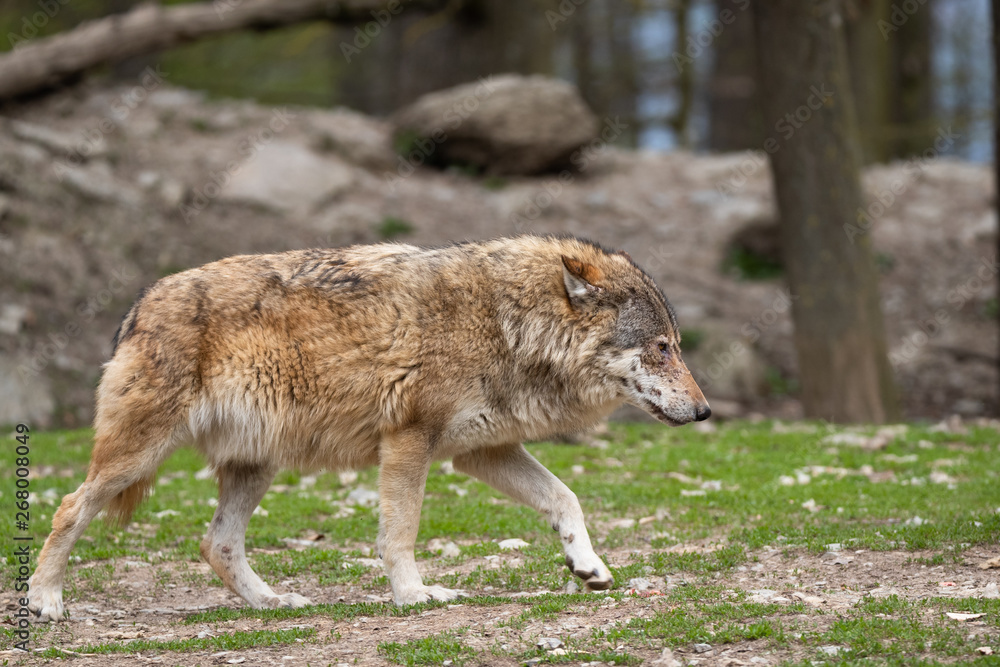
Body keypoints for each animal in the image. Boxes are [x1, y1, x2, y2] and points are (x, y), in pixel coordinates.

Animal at [28, 235, 709, 621]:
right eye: (661, 349)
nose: (705, 413)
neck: (508, 324)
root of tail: (139, 304)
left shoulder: (481, 453)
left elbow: (566, 498)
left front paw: (587, 565)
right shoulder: (409, 442)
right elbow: (400, 534)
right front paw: (414, 596)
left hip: (256, 465)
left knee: (216, 543)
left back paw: (273, 604)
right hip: (138, 459)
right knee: (68, 508)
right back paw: (45, 601)